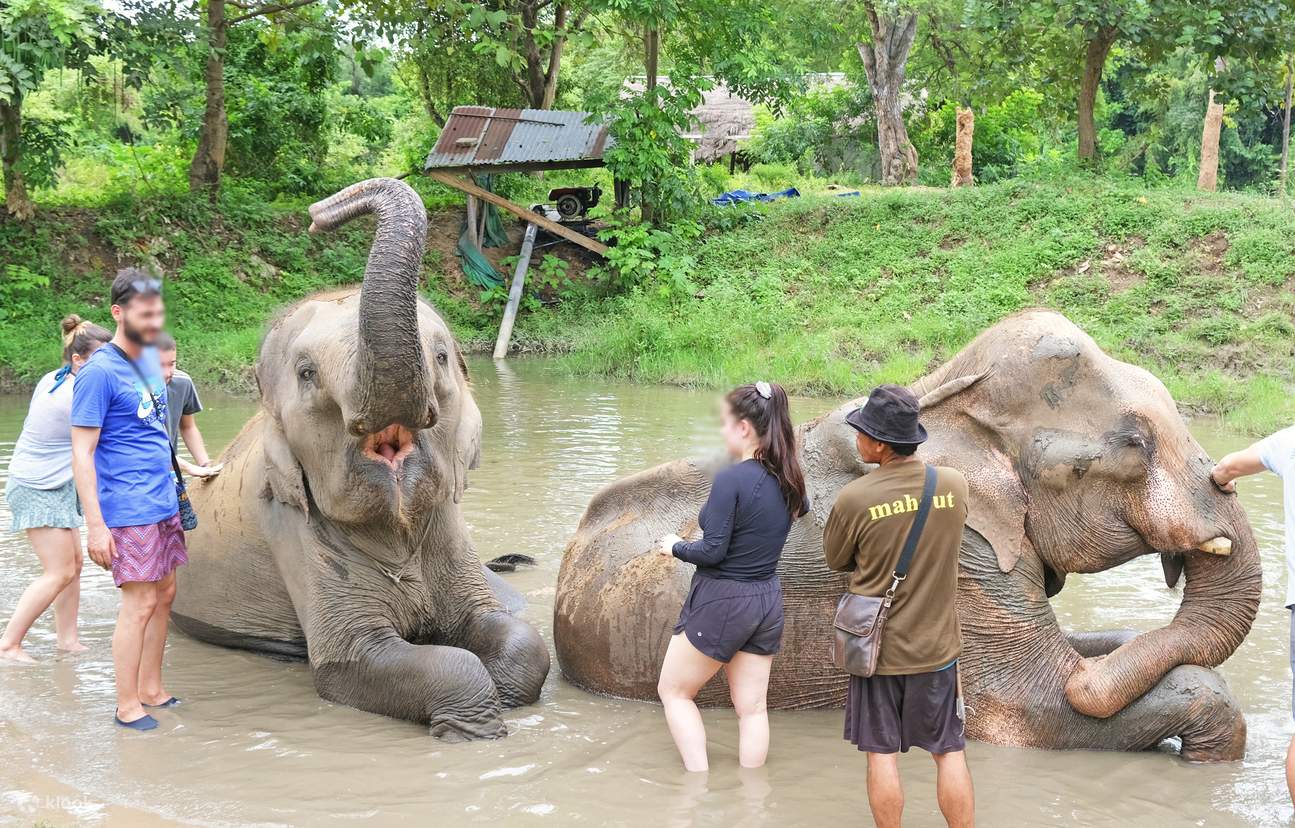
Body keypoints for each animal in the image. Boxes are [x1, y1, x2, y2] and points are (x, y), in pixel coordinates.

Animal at [172, 178, 549, 740]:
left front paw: (501, 697)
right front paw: (475, 730)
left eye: (441, 357)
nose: (317, 215)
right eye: (306, 374)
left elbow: (515, 638)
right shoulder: (291, 528)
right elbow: (351, 659)